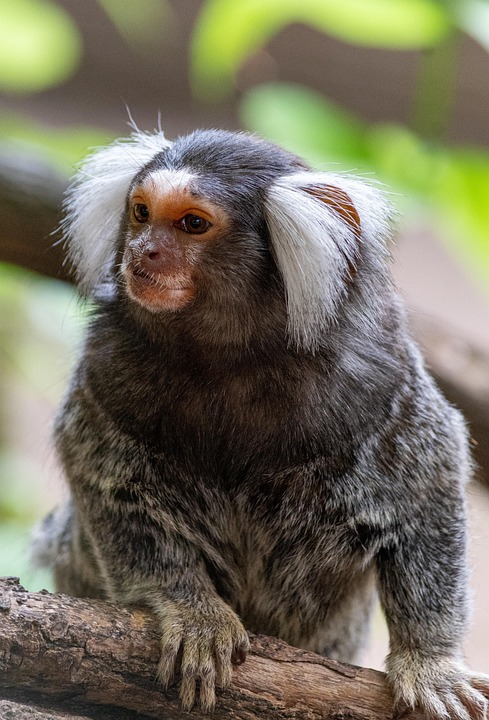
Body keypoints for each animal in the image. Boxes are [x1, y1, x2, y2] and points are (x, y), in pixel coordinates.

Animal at [33, 127, 489, 718]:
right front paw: (193, 611)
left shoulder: (384, 380)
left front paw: (429, 660)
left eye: (192, 223)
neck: (229, 358)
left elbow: (426, 496)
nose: (142, 251)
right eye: (140, 213)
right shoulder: (104, 371)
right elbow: (113, 488)